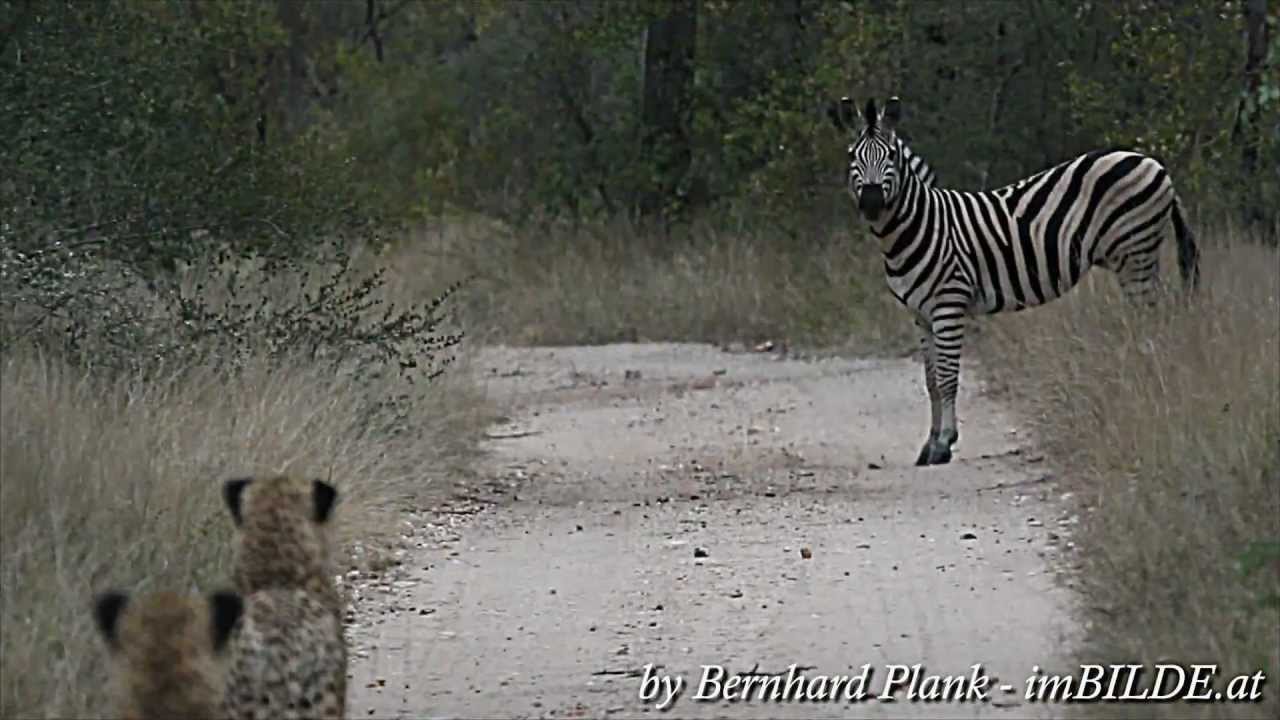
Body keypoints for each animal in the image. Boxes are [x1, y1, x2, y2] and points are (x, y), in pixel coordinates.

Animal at [828, 95, 1199, 466]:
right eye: (851, 156)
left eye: (890, 155)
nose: (872, 202)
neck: (920, 226)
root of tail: (1153, 163)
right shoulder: (920, 314)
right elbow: (931, 380)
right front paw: (930, 445)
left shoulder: (949, 304)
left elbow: (948, 378)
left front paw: (945, 443)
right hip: (1137, 258)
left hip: (1136, 255)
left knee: (1152, 324)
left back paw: (1148, 376)